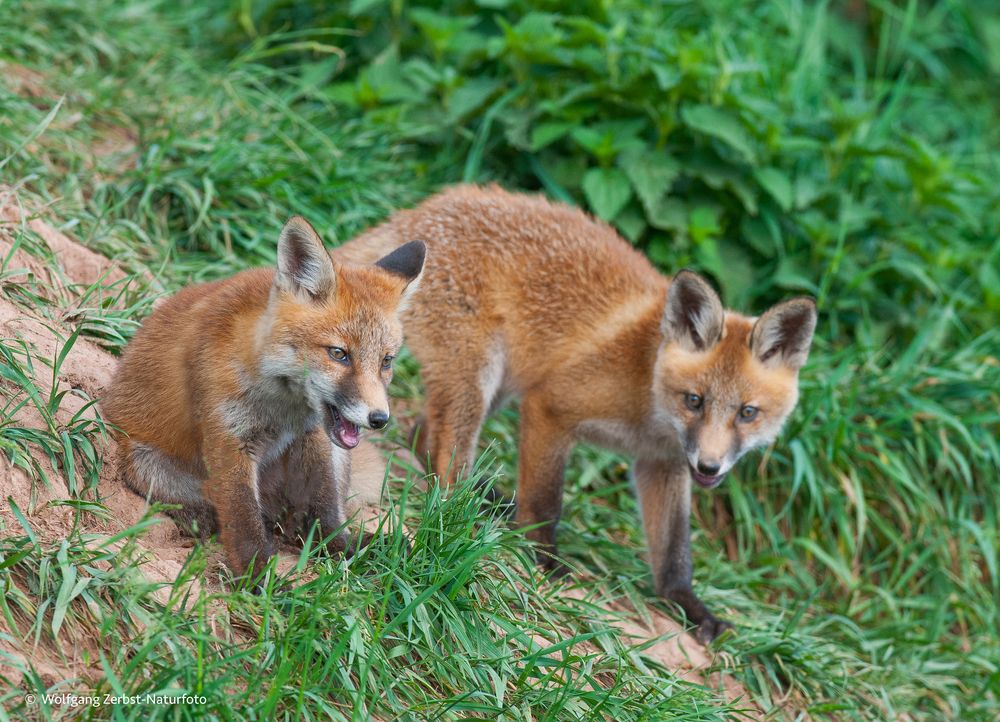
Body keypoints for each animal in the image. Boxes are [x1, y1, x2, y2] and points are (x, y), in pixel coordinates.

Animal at [102, 216, 425, 581]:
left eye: (387, 361)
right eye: (339, 354)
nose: (379, 418)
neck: (282, 406)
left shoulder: (312, 436)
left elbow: (325, 506)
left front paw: (342, 549)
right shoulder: (228, 438)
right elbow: (243, 521)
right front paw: (260, 582)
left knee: (300, 523)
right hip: (152, 468)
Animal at [333, 185, 816, 641]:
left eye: (747, 412)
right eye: (694, 401)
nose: (711, 466)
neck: (648, 398)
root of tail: (419, 210)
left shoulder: (663, 463)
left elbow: (674, 552)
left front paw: (688, 606)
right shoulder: (550, 405)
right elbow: (547, 501)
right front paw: (544, 560)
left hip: (500, 383)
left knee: (422, 435)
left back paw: (488, 500)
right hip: (480, 374)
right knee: (446, 461)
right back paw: (464, 514)